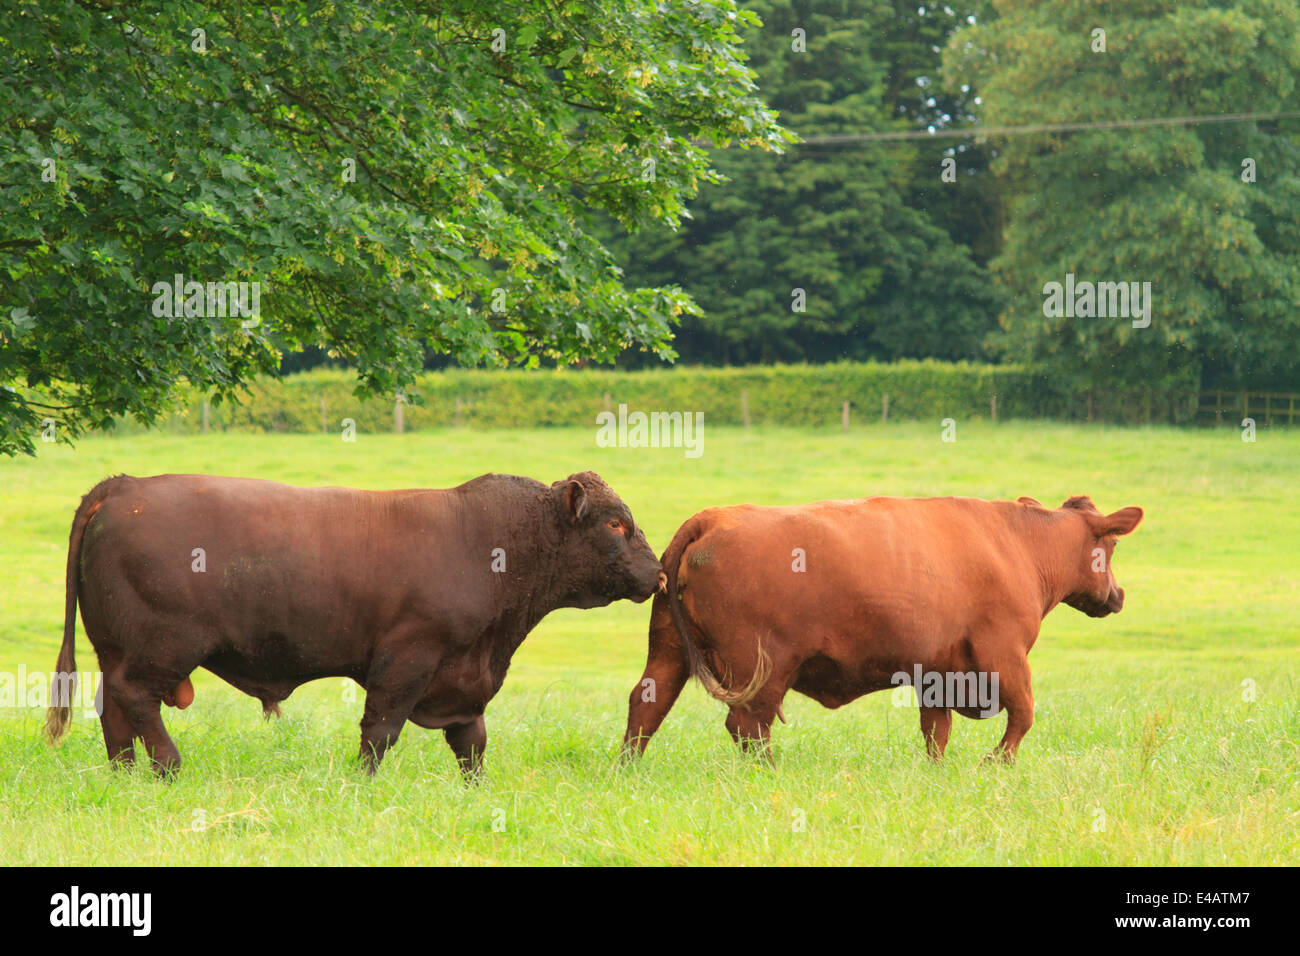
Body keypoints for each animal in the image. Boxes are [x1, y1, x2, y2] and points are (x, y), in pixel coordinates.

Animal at [45, 471, 661, 777]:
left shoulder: (464, 675)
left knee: (113, 706)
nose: (656, 574)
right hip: (161, 647)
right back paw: (169, 767)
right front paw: (362, 782)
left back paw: (126, 773)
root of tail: (123, 485)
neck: (490, 541)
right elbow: (381, 729)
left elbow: (472, 741)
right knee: (135, 699)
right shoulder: (409, 657)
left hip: (115, 648)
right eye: (615, 524)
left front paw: (477, 790)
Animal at [623, 494, 1143, 763]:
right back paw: (768, 773)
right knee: (748, 726)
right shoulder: (1005, 653)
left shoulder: (939, 672)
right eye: (1113, 546)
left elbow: (937, 731)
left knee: (647, 704)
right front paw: (997, 763)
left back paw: (629, 768)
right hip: (762, 669)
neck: (1018, 543)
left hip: (668, 650)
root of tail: (711, 517)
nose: (1118, 596)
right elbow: (1024, 714)